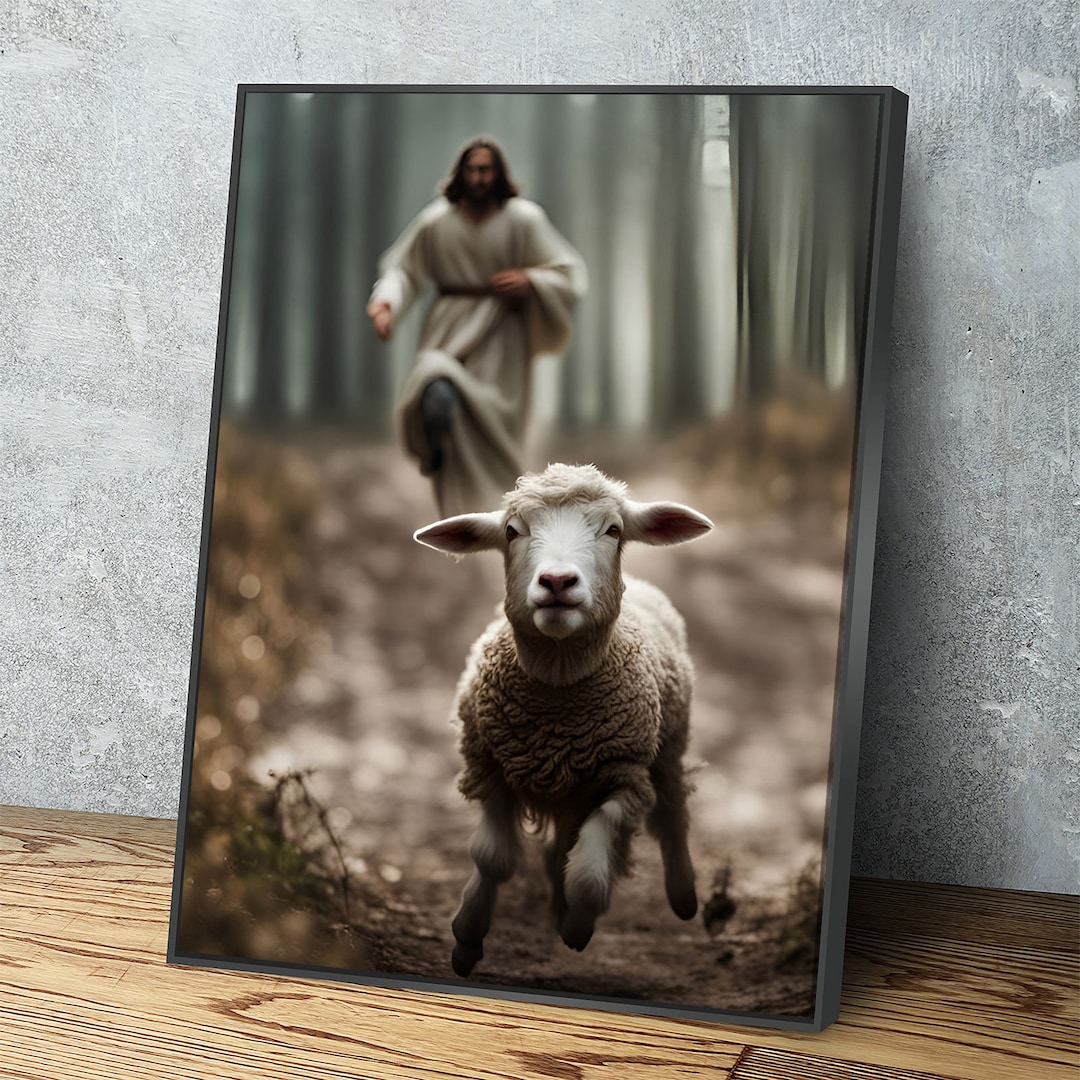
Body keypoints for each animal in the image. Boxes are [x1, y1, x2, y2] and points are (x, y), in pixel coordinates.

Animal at [414, 462, 713, 977]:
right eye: (512, 531)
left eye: (613, 530)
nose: (557, 582)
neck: (557, 706)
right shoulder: (491, 769)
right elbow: (493, 859)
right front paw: (467, 940)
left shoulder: (624, 778)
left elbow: (589, 877)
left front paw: (578, 926)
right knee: (563, 845)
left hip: (669, 743)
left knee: (671, 811)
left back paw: (683, 896)